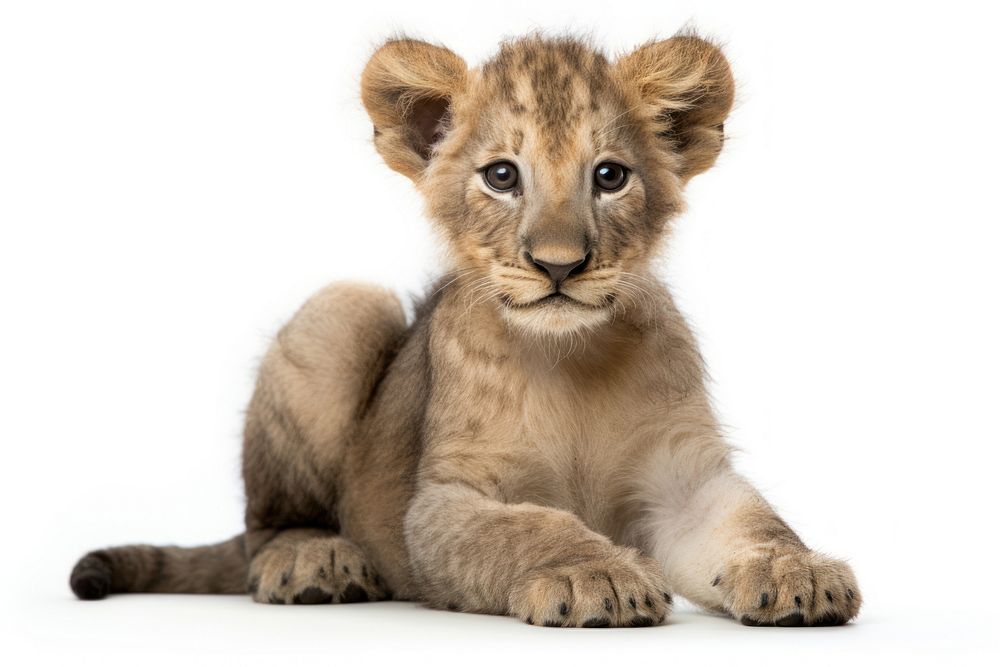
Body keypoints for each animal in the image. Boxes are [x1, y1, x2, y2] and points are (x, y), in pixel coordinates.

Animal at [69, 33, 861, 628]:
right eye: (501, 176)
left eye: (610, 176)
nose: (558, 265)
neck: (571, 355)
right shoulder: (445, 498)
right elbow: (528, 526)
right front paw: (594, 574)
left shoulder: (683, 478)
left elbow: (753, 522)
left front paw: (799, 569)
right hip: (343, 310)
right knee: (265, 525)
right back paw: (315, 560)